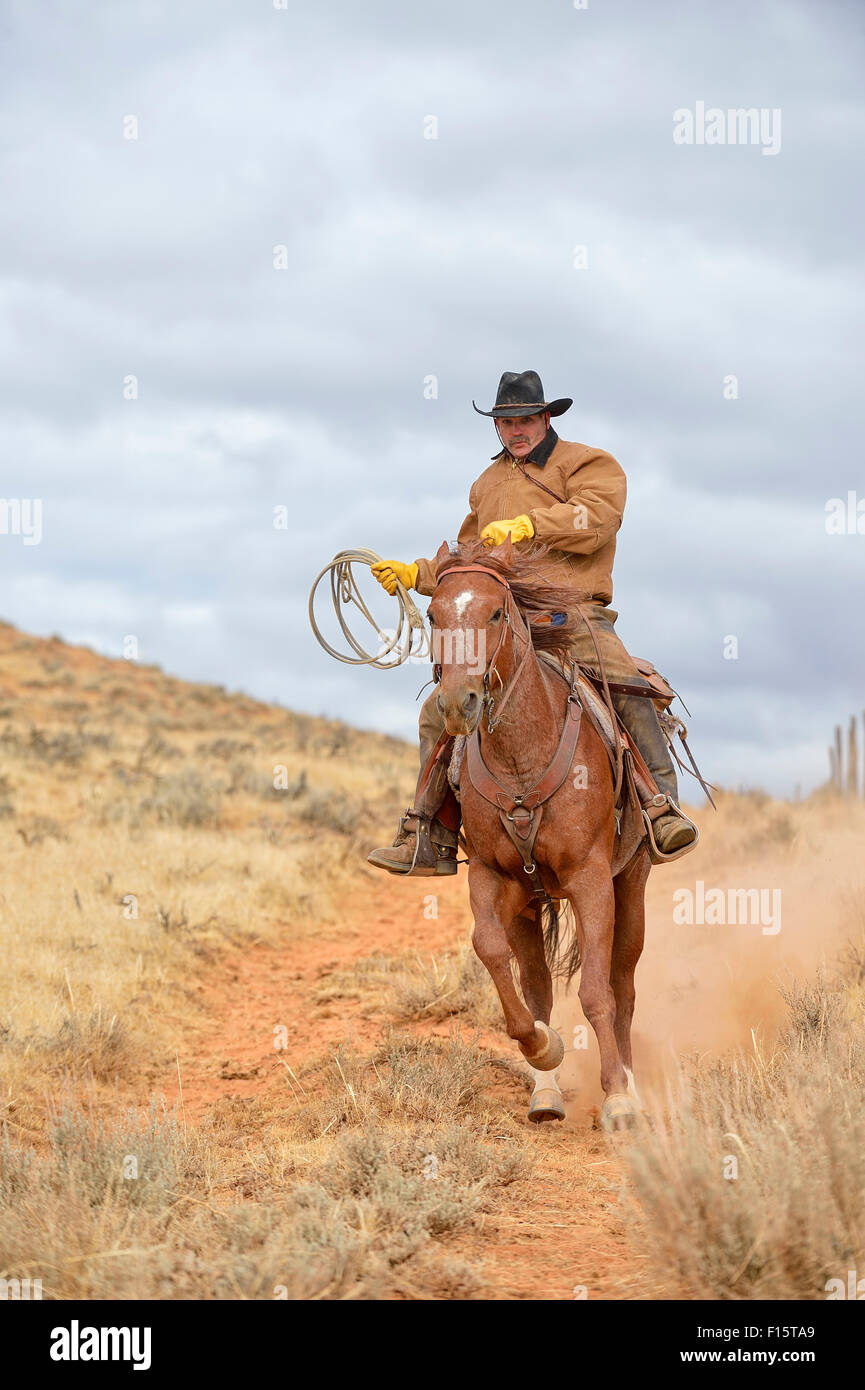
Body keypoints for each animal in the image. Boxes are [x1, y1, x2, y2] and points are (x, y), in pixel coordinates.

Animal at [426, 535, 651, 1130]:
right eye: (433, 615)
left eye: (495, 612)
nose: (457, 703)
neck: (522, 759)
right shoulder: (490, 876)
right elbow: (490, 952)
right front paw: (543, 1047)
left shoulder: (592, 880)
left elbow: (597, 993)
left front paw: (618, 1097)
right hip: (529, 904)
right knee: (537, 983)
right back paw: (545, 1093)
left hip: (631, 886)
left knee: (623, 984)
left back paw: (631, 1085)